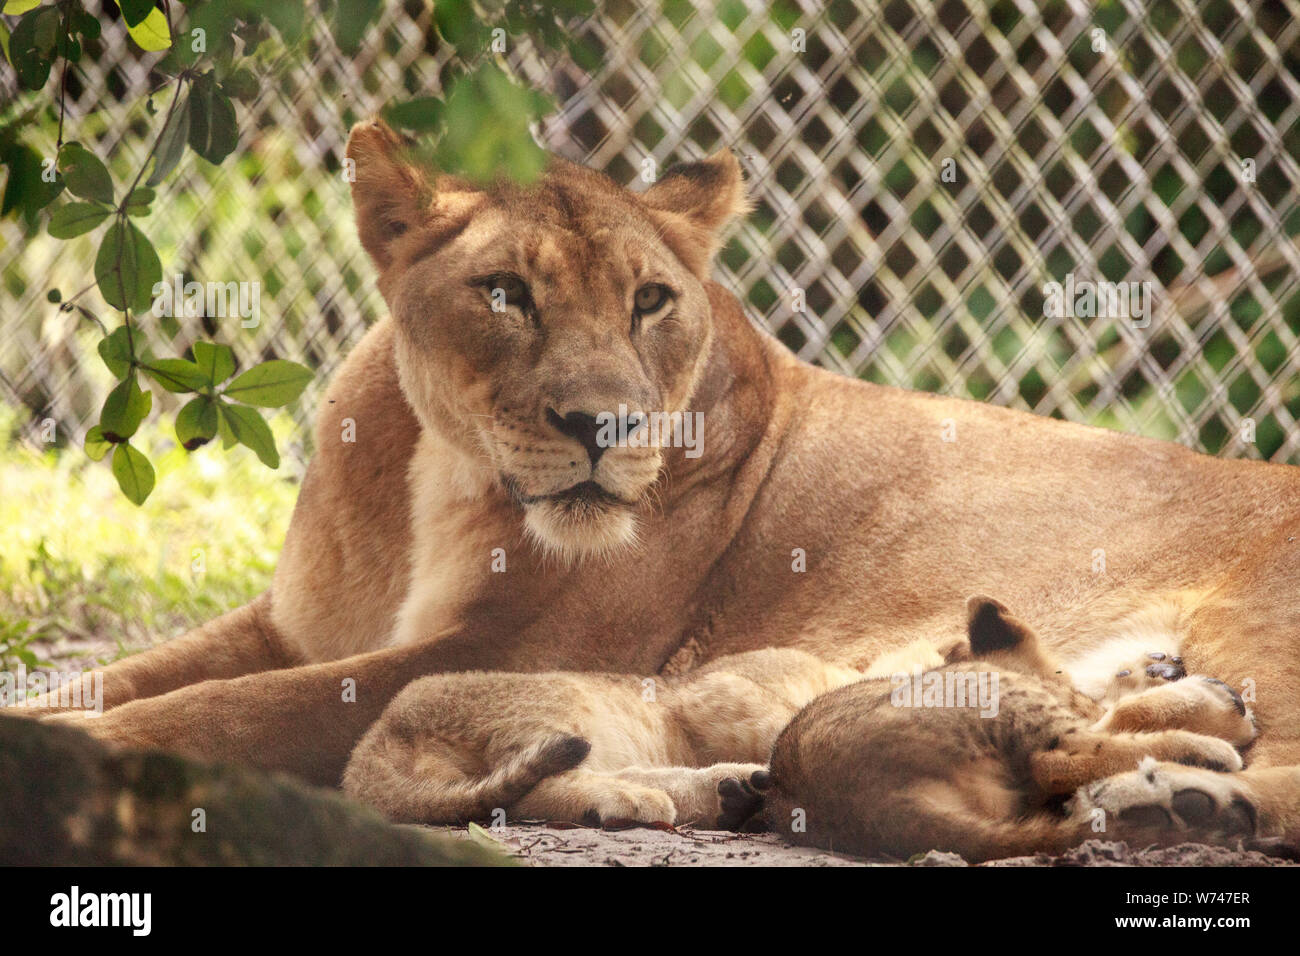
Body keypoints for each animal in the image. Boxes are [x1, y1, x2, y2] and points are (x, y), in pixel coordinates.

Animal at [40, 118, 1300, 856]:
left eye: (649, 298)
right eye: (504, 292)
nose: (605, 423)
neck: (429, 480)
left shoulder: (497, 651)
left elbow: (209, 713)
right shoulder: (291, 625)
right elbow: (113, 679)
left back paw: (1183, 797)